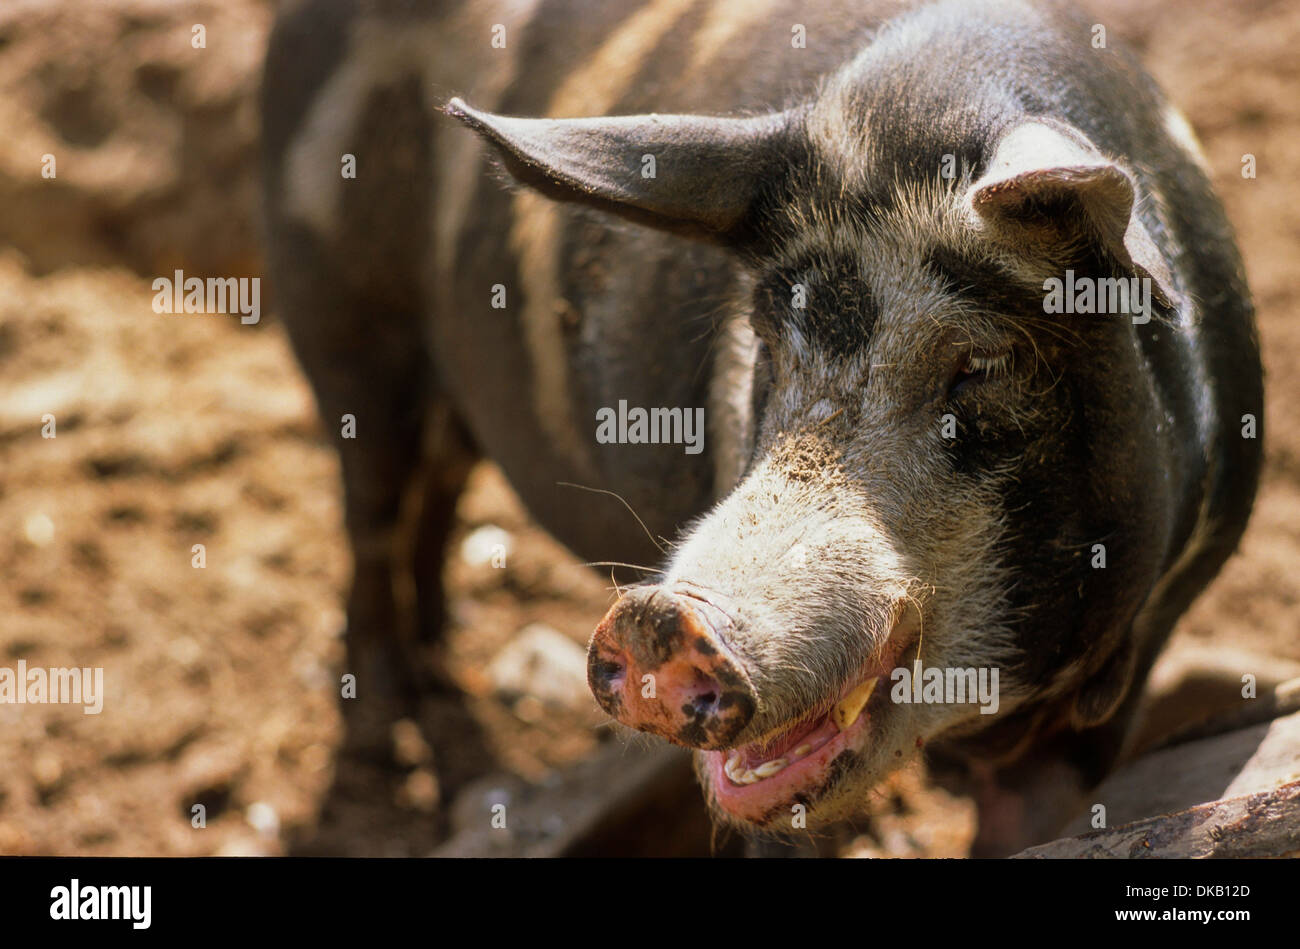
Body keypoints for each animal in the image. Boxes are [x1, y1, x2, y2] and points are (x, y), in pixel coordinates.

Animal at [261, 0, 1263, 854]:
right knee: (369, 511)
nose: (658, 615)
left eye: (978, 365)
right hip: (341, 323)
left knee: (435, 491)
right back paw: (385, 724)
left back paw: (442, 655)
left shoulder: (1143, 647)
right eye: (771, 340)